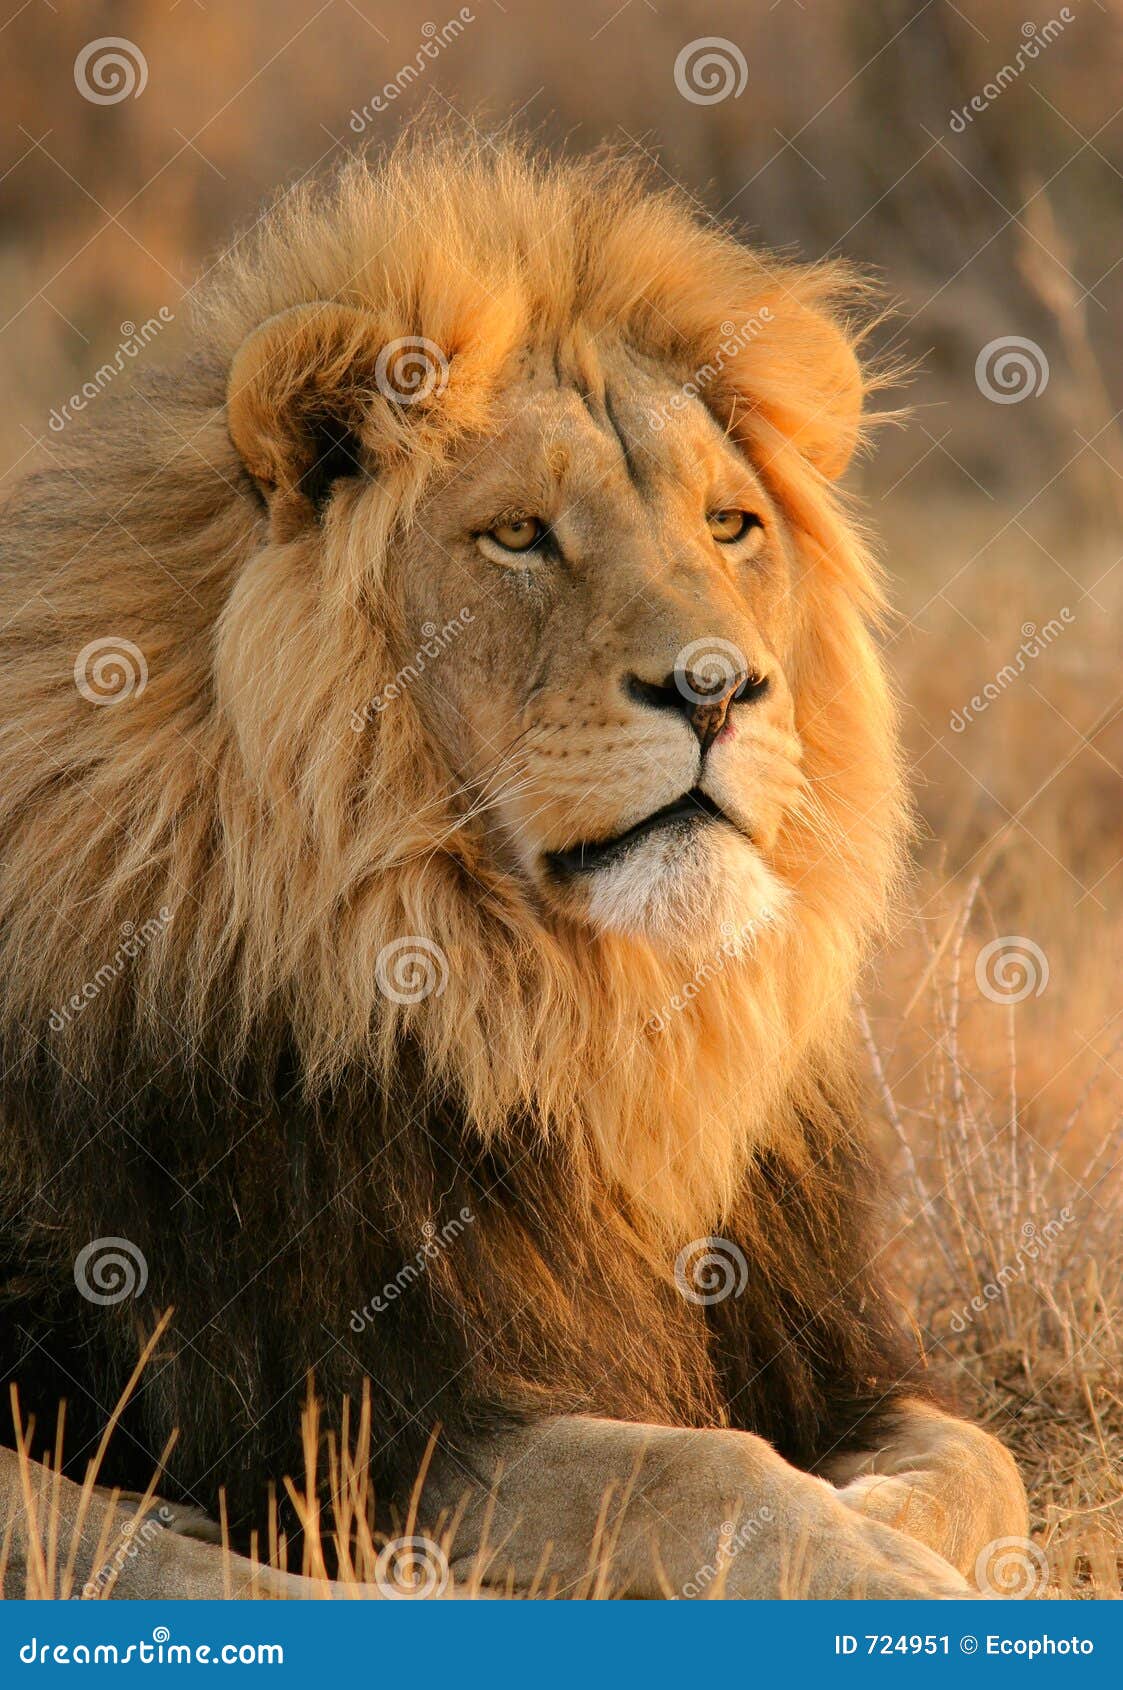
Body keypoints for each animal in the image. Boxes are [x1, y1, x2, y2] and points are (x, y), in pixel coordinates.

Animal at [0, 132, 1026, 1600]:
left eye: (730, 525)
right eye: (518, 535)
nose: (717, 689)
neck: (573, 1025)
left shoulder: (813, 1345)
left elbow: (977, 1458)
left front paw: (897, 1526)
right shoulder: (368, 1414)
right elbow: (700, 1469)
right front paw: (888, 1579)